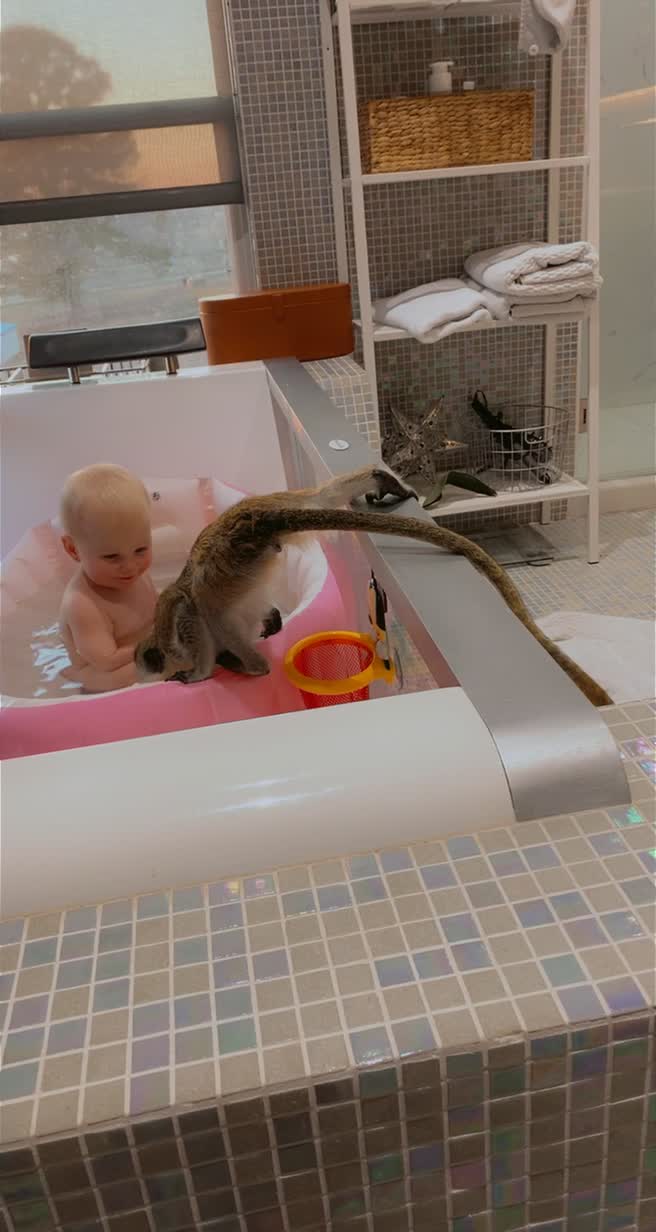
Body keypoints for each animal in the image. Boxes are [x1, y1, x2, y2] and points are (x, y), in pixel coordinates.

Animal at [134, 466, 611, 707]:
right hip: (260, 515)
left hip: (224, 563)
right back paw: (380, 479)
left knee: (204, 606)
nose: (159, 672)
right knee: (318, 498)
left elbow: (183, 611)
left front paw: (197, 673)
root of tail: (255, 520)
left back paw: (253, 666)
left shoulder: (179, 626)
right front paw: (267, 625)